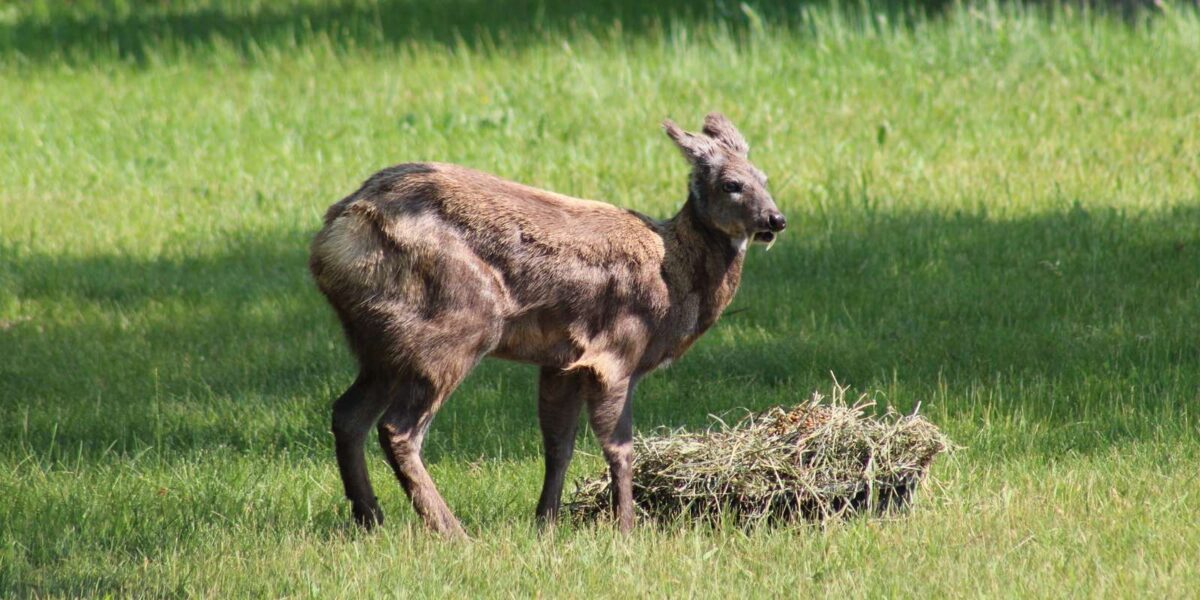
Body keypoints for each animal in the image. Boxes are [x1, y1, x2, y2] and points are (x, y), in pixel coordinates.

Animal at [308, 113, 786, 536]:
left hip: (381, 343)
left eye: (765, 178)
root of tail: (334, 235)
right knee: (398, 429)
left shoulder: (562, 360)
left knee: (348, 414)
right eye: (732, 184)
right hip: (451, 325)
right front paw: (626, 529)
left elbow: (558, 445)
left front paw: (545, 524)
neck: (673, 275)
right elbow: (619, 446)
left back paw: (370, 518)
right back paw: (452, 531)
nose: (775, 219)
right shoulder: (618, 351)